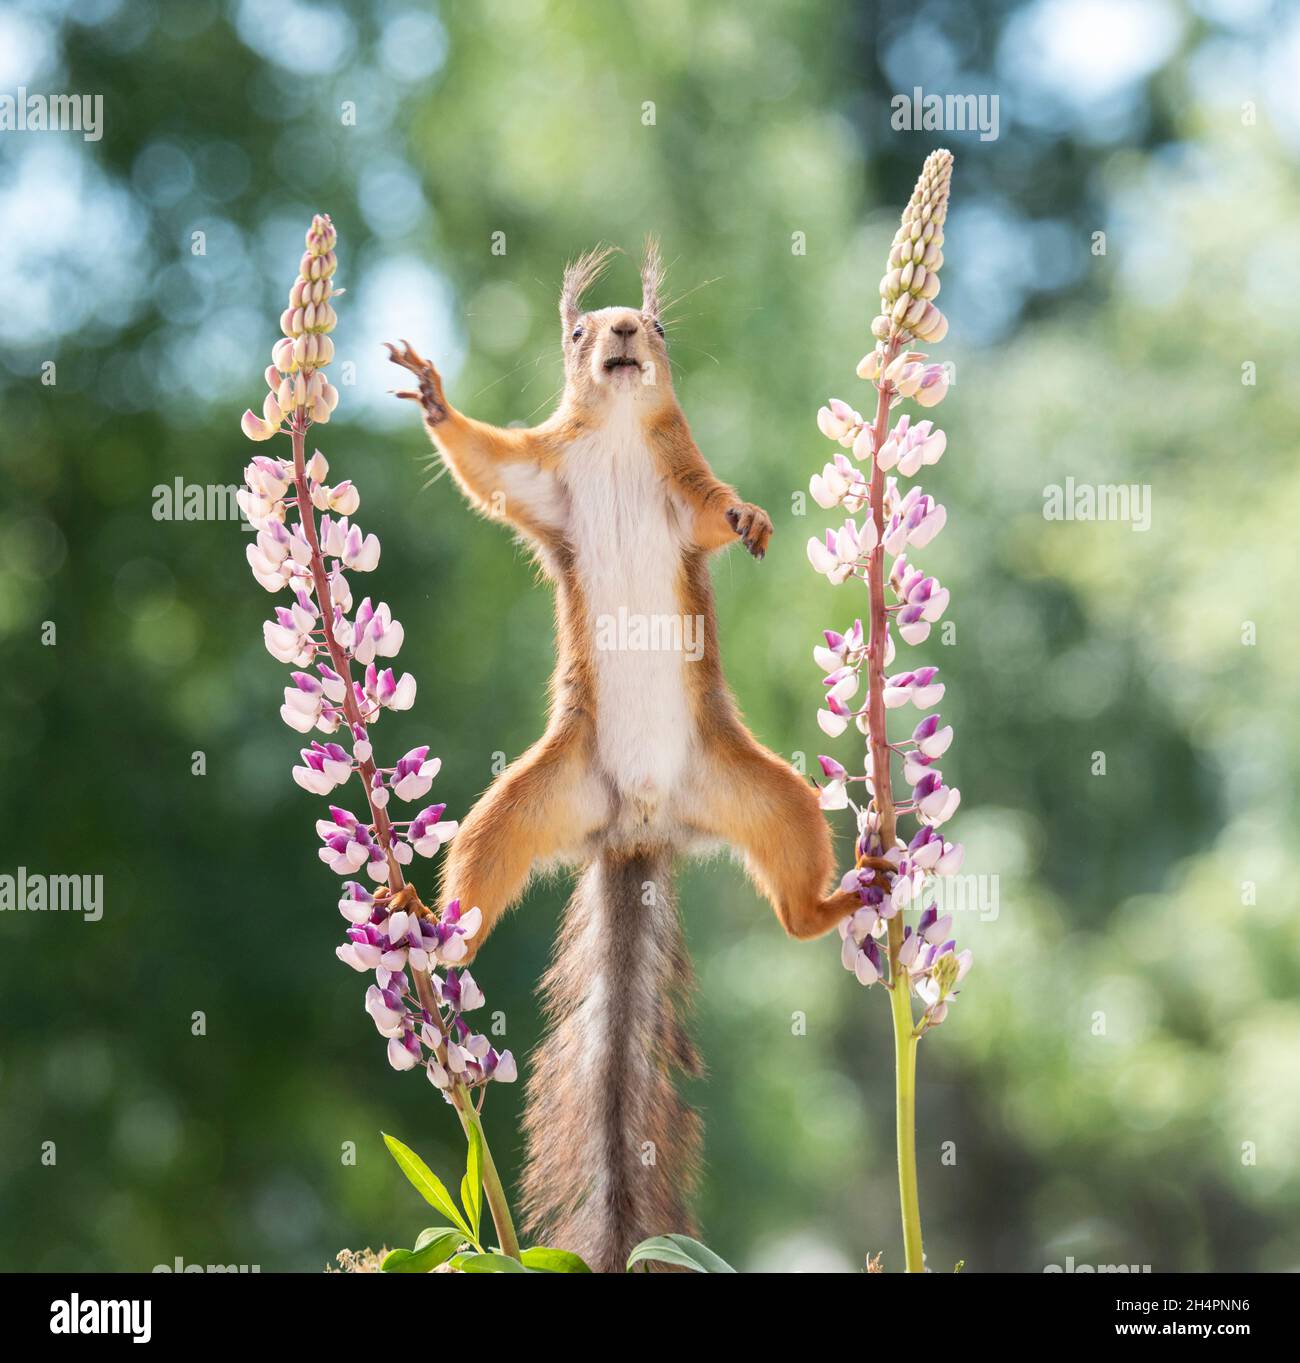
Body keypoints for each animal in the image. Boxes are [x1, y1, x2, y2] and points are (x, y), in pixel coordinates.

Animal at [386, 241, 858, 1272]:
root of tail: (638, 826)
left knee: (798, 902)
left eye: (661, 325)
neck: (612, 437)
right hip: (527, 803)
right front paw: (434, 396)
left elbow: (716, 510)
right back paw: (429, 923)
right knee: (476, 882)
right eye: (575, 330)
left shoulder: (687, 483)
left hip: (766, 794)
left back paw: (837, 901)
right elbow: (487, 466)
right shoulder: (542, 478)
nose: (628, 333)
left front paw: (755, 521)